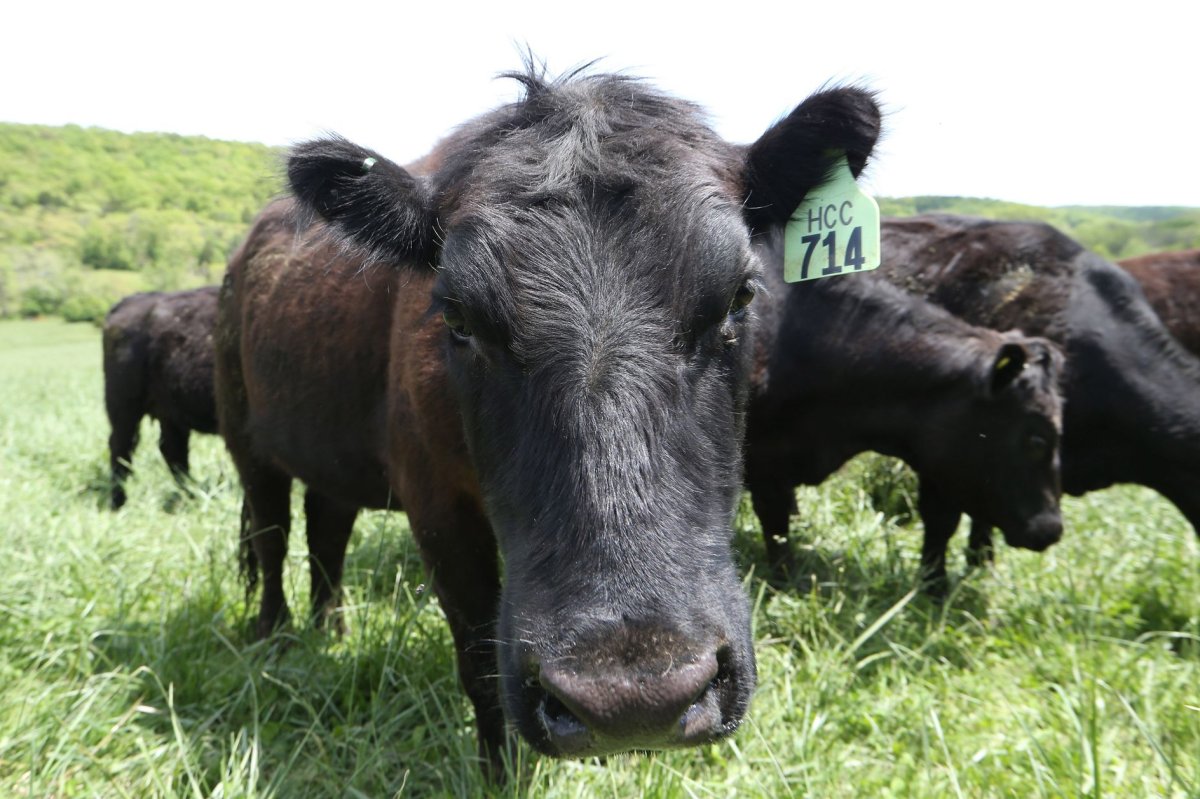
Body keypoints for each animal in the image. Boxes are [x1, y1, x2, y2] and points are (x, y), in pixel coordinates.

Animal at [102, 286, 219, 509]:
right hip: (124, 407)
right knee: (121, 448)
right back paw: (118, 502)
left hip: (171, 414)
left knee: (172, 451)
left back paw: (192, 494)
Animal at [214, 66, 882, 771]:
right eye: (457, 317)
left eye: (740, 296)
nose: (633, 699)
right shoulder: (435, 505)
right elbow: (477, 657)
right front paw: (496, 772)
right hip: (244, 439)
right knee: (272, 533)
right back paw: (275, 635)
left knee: (326, 527)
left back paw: (331, 628)